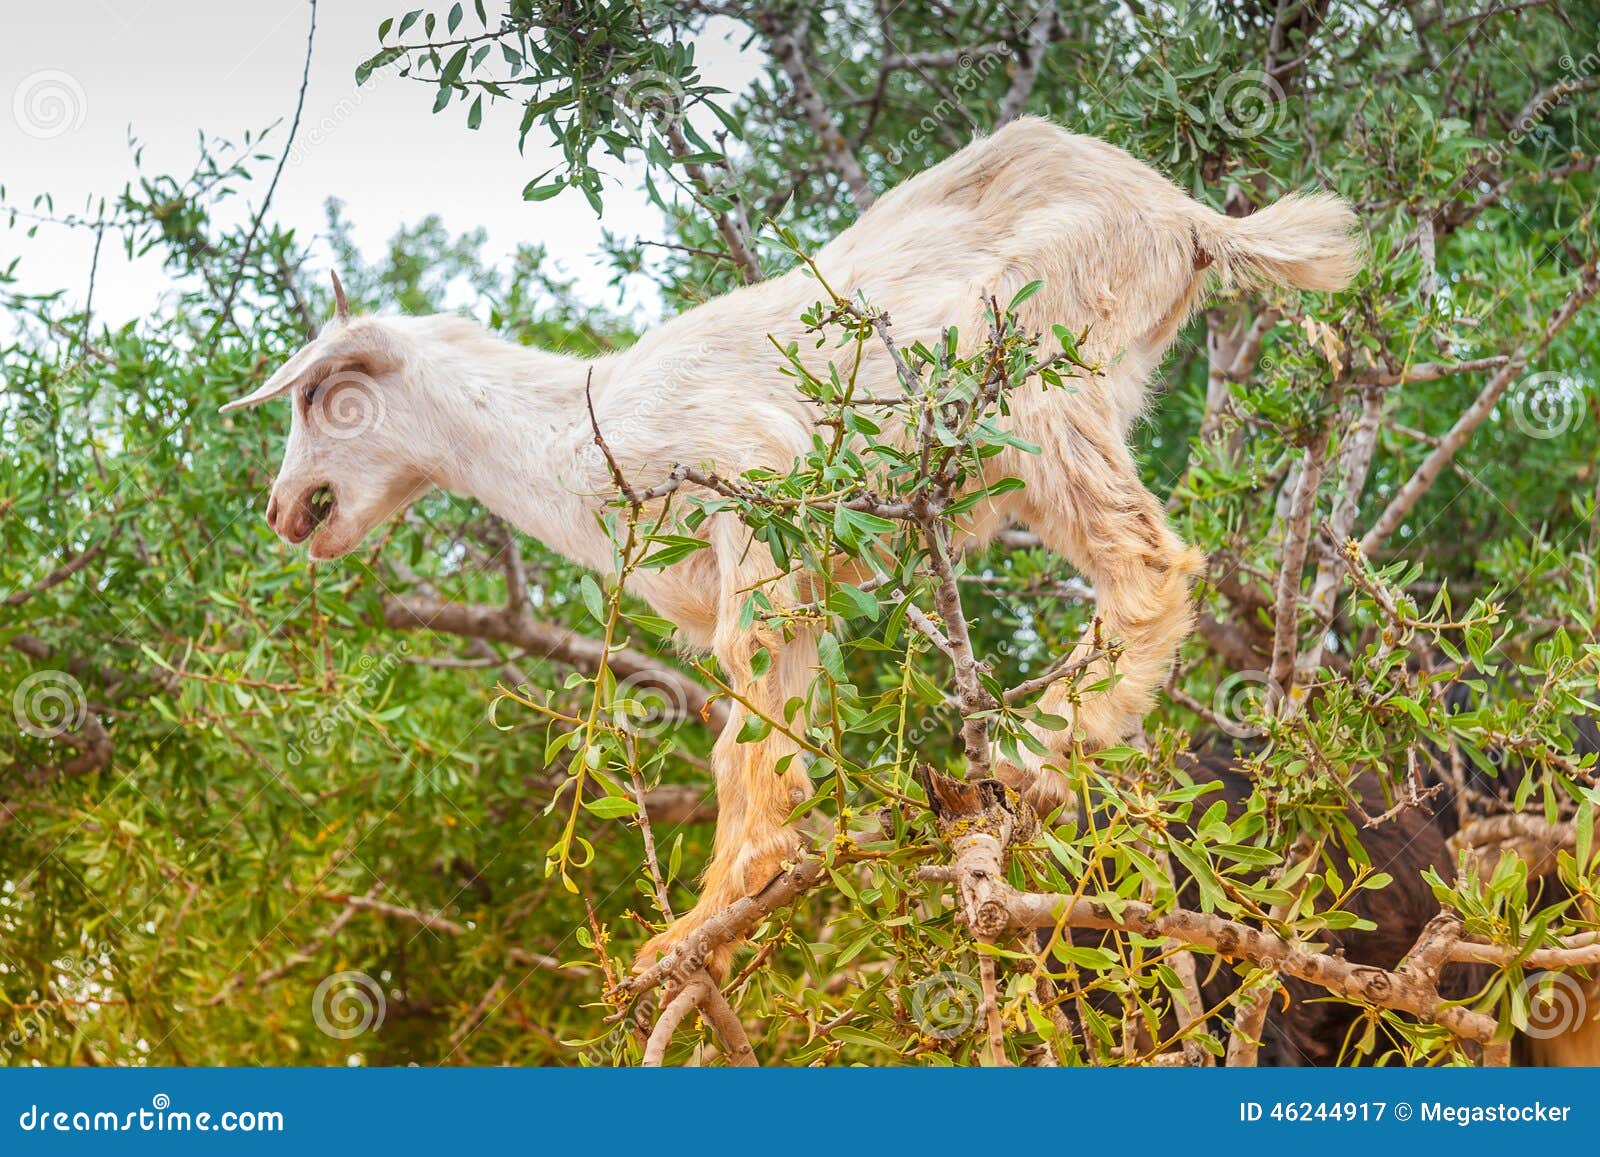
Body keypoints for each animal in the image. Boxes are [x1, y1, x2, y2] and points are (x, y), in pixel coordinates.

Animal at [222, 118, 1359, 969]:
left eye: (319, 398)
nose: (283, 511)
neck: (579, 429)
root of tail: (1186, 217)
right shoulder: (791, 563)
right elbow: (767, 724)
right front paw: (725, 911)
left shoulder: (753, 491)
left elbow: (744, 705)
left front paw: (702, 916)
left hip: (1039, 383)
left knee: (1147, 564)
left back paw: (1026, 754)